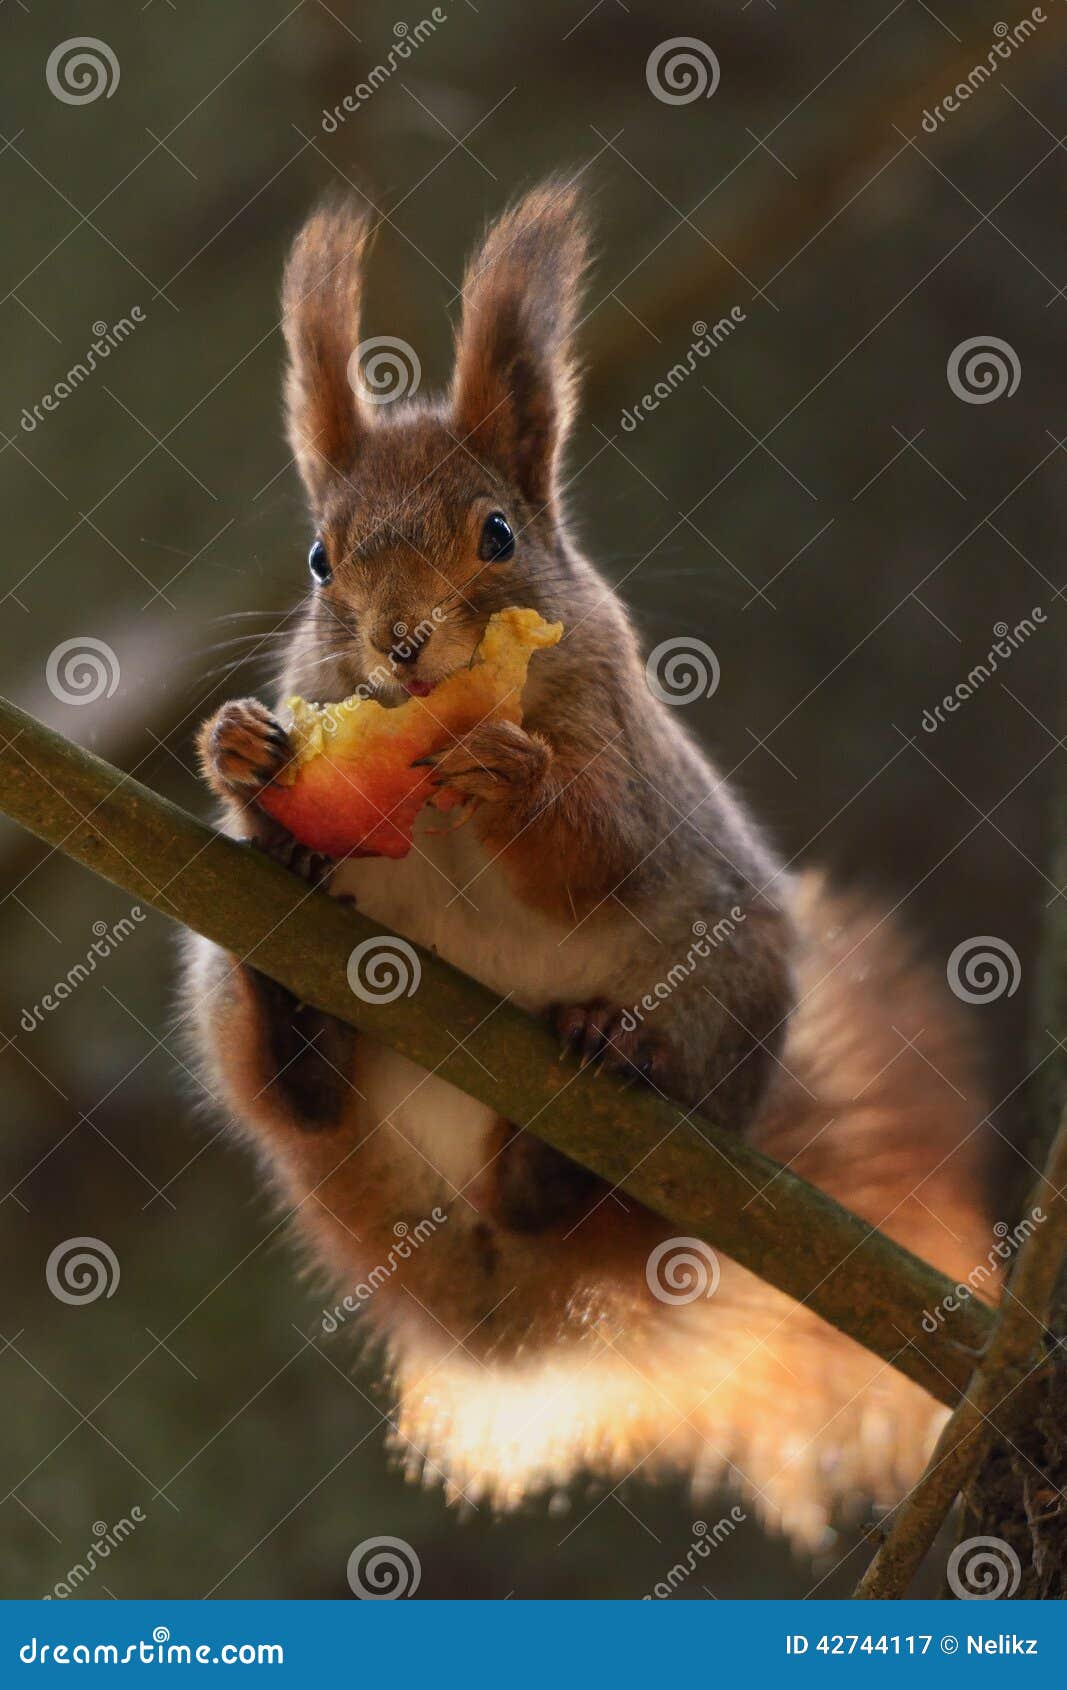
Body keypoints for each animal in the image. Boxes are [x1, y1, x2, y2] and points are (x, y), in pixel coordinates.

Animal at [184, 180, 994, 1550]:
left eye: (498, 532)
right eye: (319, 558)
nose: (398, 644)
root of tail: (497, 1292)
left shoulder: (632, 769)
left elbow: (596, 851)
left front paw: (512, 776)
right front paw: (245, 761)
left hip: (730, 1001)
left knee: (572, 1185)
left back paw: (585, 1089)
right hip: (286, 1081)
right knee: (290, 1097)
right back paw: (296, 1017)